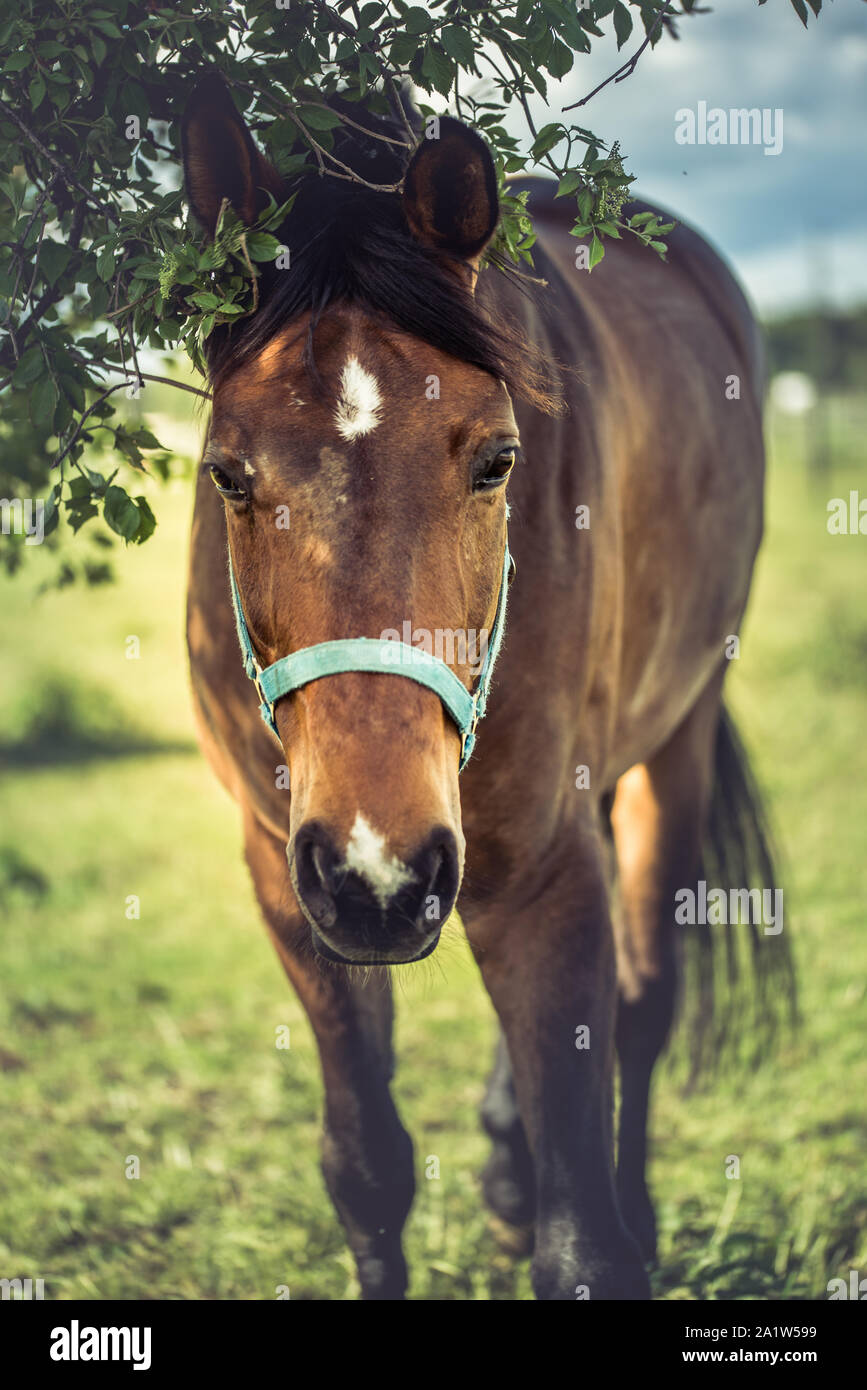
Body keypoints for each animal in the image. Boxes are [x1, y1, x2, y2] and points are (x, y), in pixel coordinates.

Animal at [180, 75, 788, 1300]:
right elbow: (368, 1170)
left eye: (498, 460)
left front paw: (600, 1219)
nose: (377, 868)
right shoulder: (286, 875)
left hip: (678, 739)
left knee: (643, 1005)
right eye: (227, 473)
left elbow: (584, 1239)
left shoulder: (553, 868)